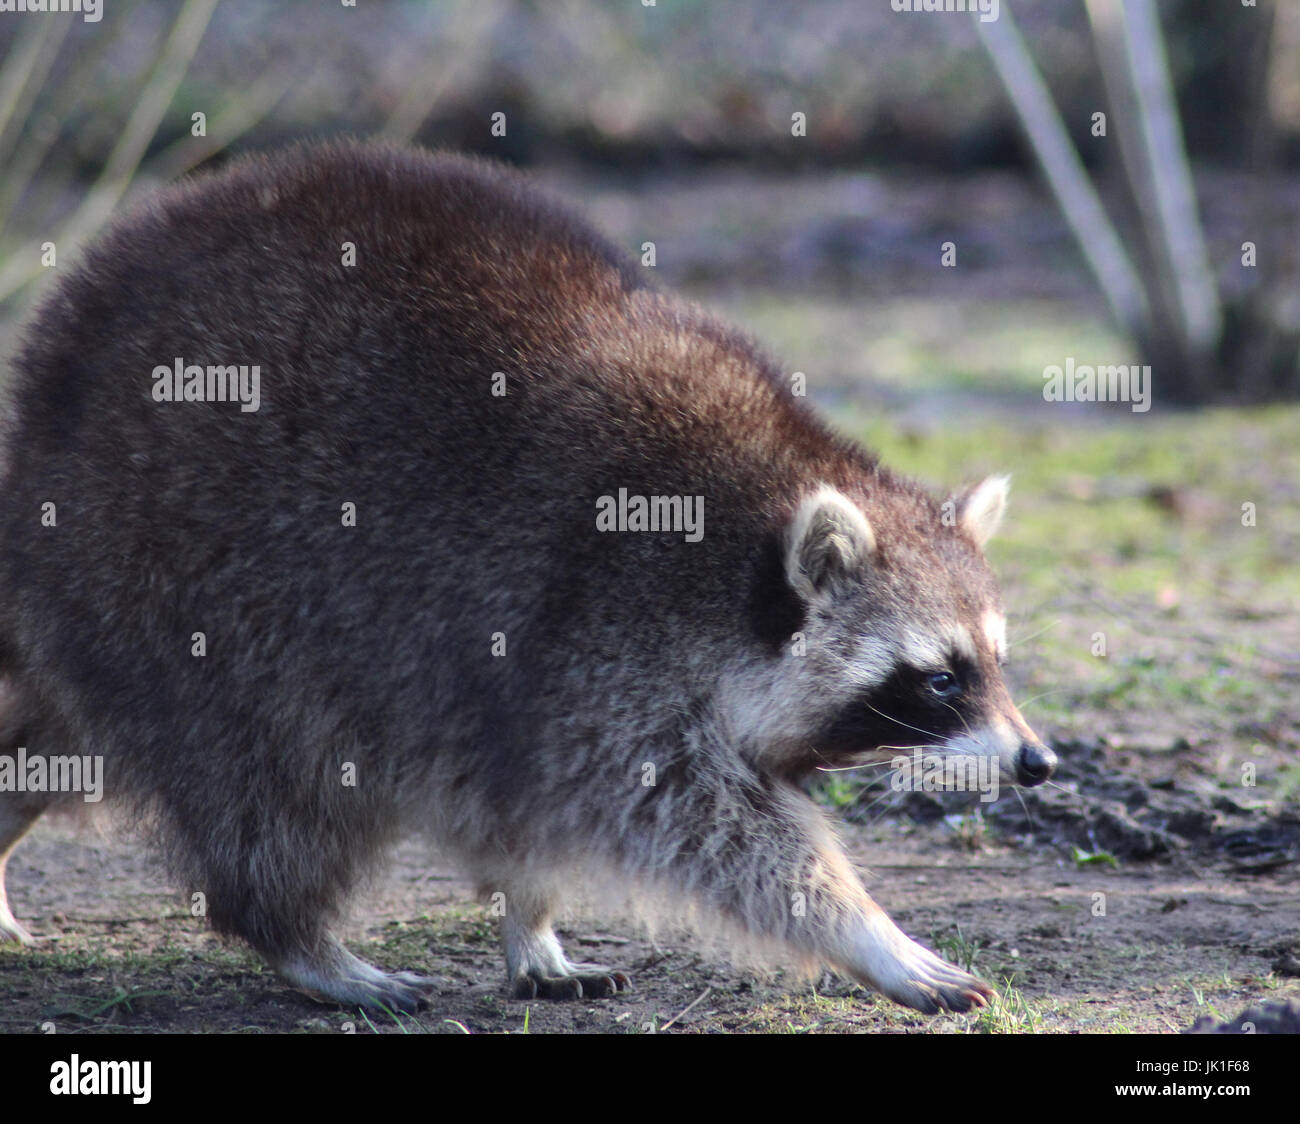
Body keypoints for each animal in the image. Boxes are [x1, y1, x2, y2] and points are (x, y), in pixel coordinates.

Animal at [0, 140, 1055, 1015]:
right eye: (941, 678)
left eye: (997, 662)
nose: (1037, 762)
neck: (743, 539)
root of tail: (38, 419)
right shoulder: (597, 645)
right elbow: (706, 823)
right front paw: (863, 930)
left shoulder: (525, 697)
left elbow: (528, 816)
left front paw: (531, 922)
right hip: (183, 582)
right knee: (272, 787)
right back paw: (299, 939)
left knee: (49, 735)